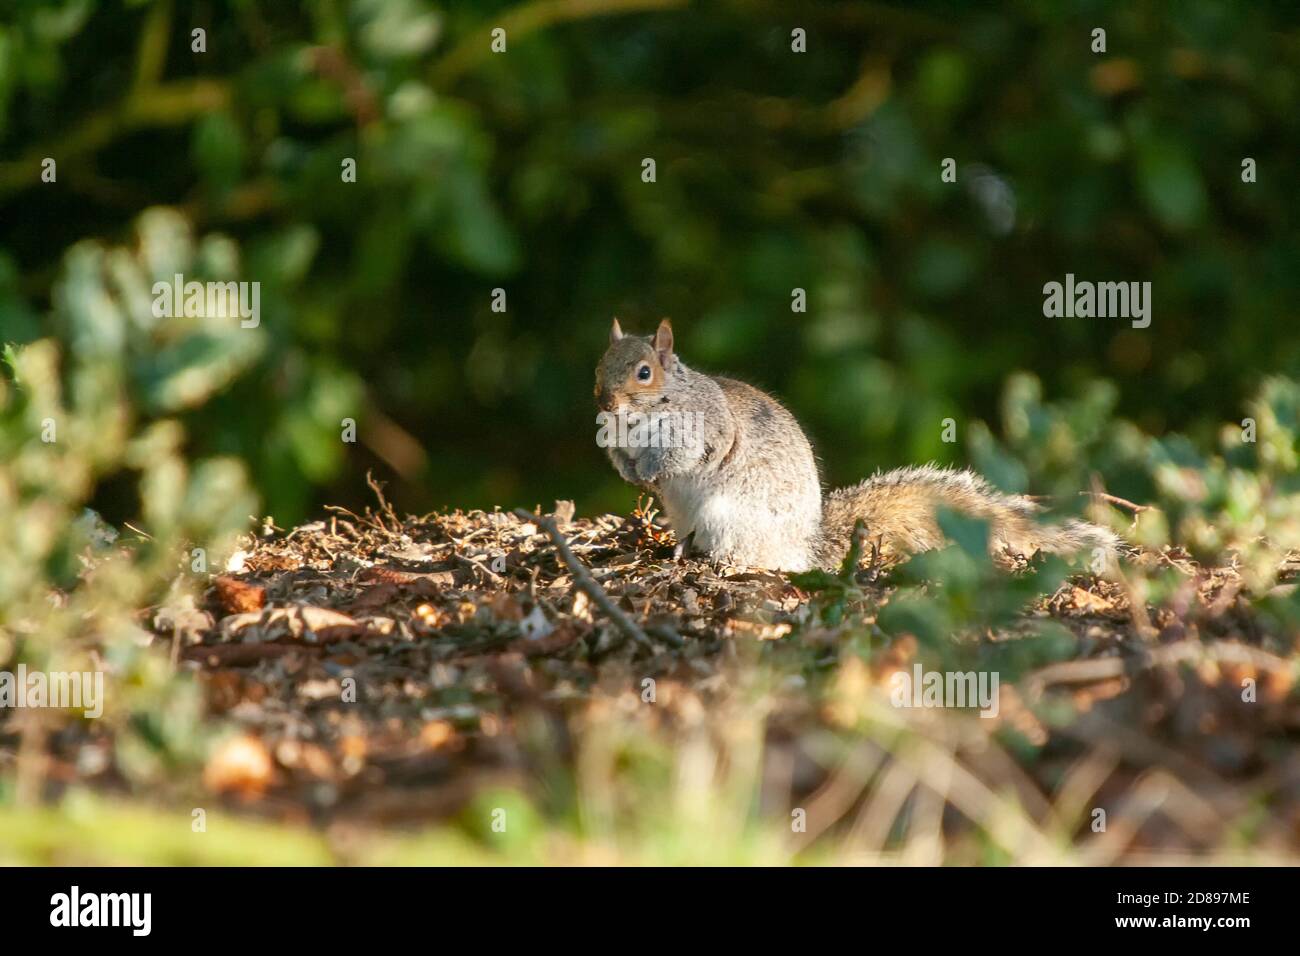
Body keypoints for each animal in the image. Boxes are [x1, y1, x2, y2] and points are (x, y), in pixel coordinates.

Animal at [595, 317, 1121, 572]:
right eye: (599, 365)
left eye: (644, 372)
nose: (604, 401)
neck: (639, 419)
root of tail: (803, 547)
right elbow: (618, 454)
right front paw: (628, 470)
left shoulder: (706, 427)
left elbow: (686, 454)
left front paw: (651, 471)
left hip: (730, 519)